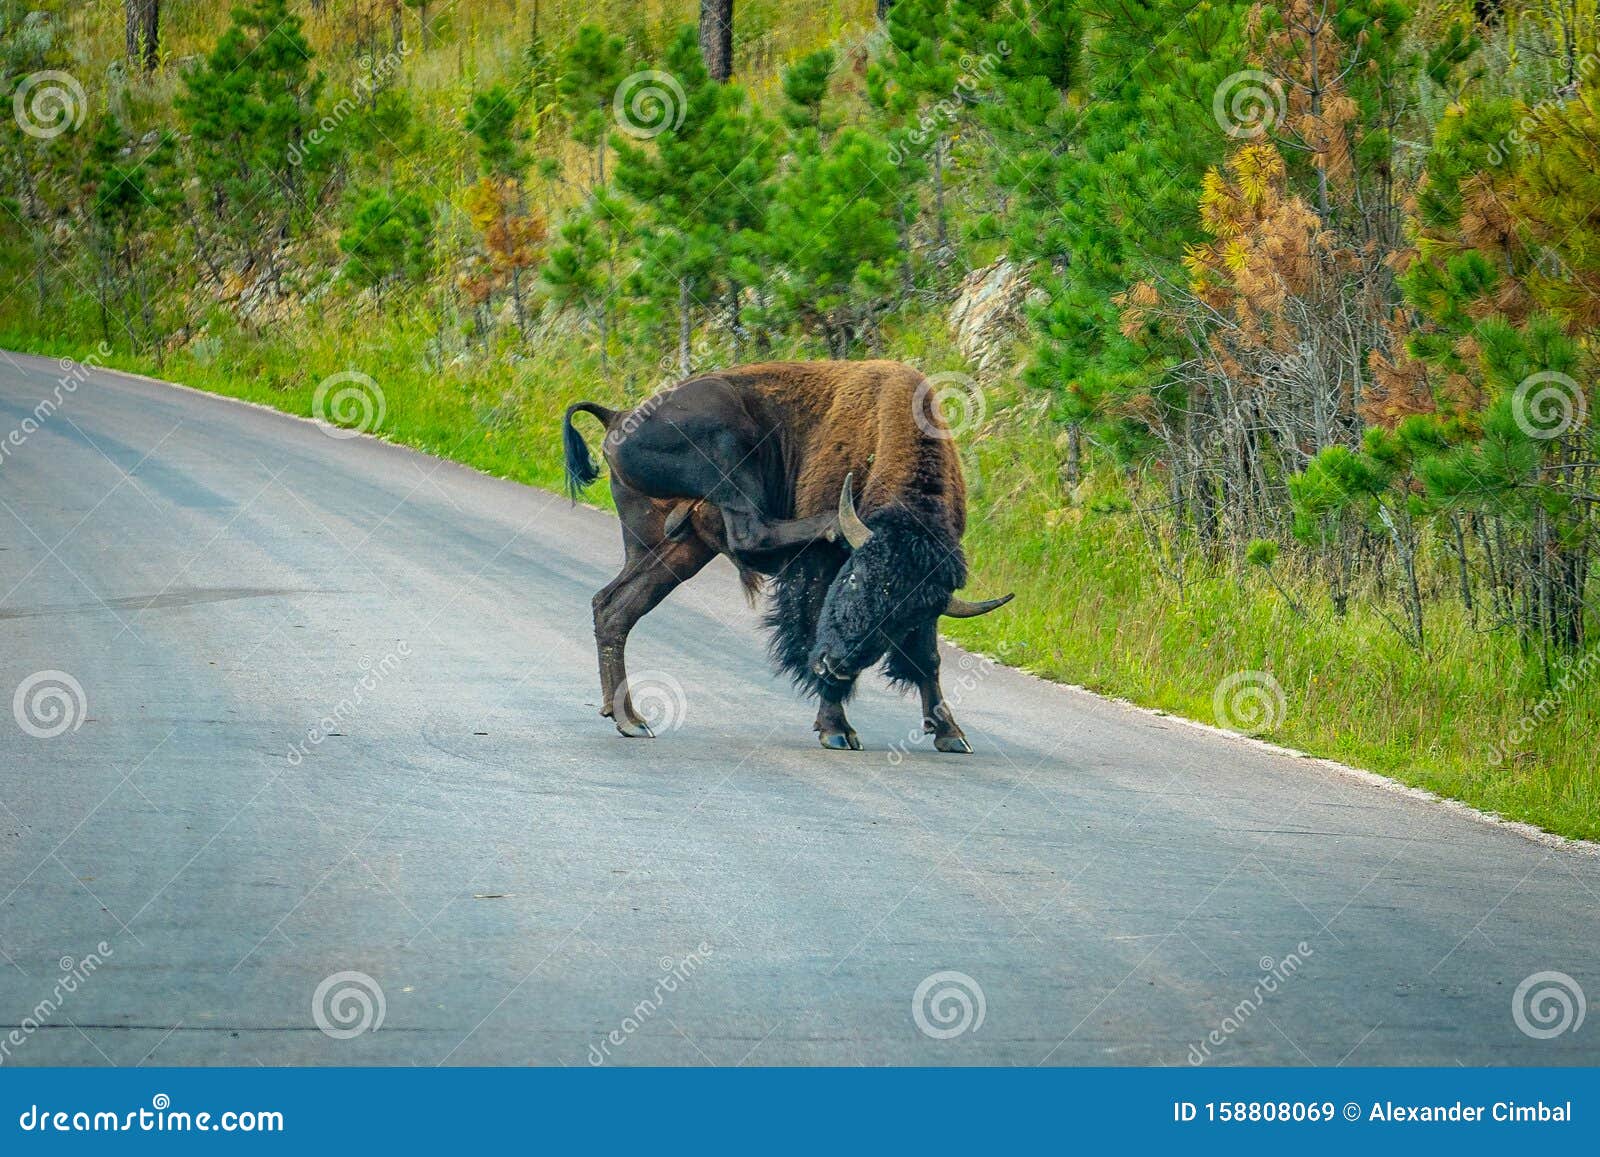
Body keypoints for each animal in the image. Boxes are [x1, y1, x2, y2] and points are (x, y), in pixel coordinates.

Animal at [561, 360, 1011, 752]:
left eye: (900, 618)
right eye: (853, 580)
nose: (835, 665)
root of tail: (618, 416)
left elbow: (927, 659)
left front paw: (951, 735)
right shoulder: (819, 574)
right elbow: (811, 628)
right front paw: (836, 730)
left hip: (672, 546)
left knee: (615, 607)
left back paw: (631, 721)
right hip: (729, 448)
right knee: (749, 531)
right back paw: (829, 525)